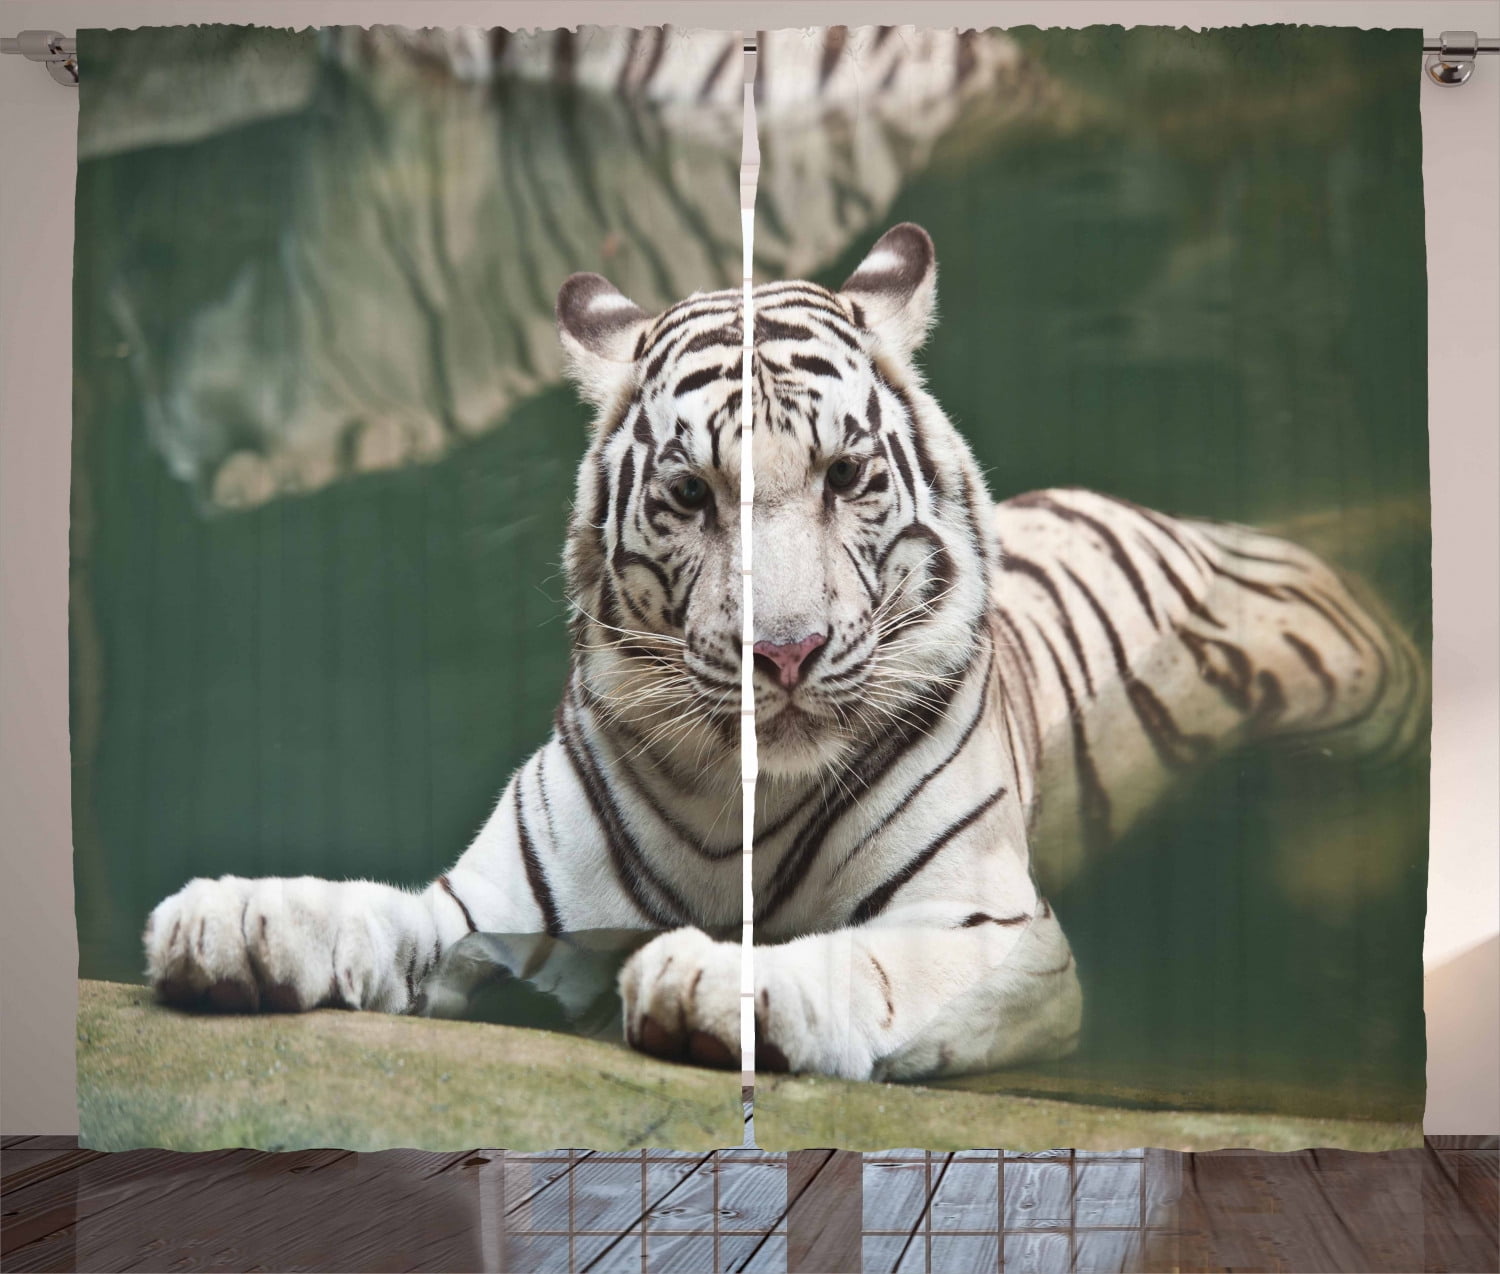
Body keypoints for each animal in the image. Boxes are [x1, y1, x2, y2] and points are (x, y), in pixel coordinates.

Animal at [144, 221, 1424, 1083]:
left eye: (847, 477)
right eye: (689, 496)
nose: (789, 650)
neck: (735, 792)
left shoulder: (997, 935)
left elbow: (867, 965)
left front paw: (708, 975)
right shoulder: (500, 909)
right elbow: (375, 912)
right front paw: (235, 919)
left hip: (1365, 688)